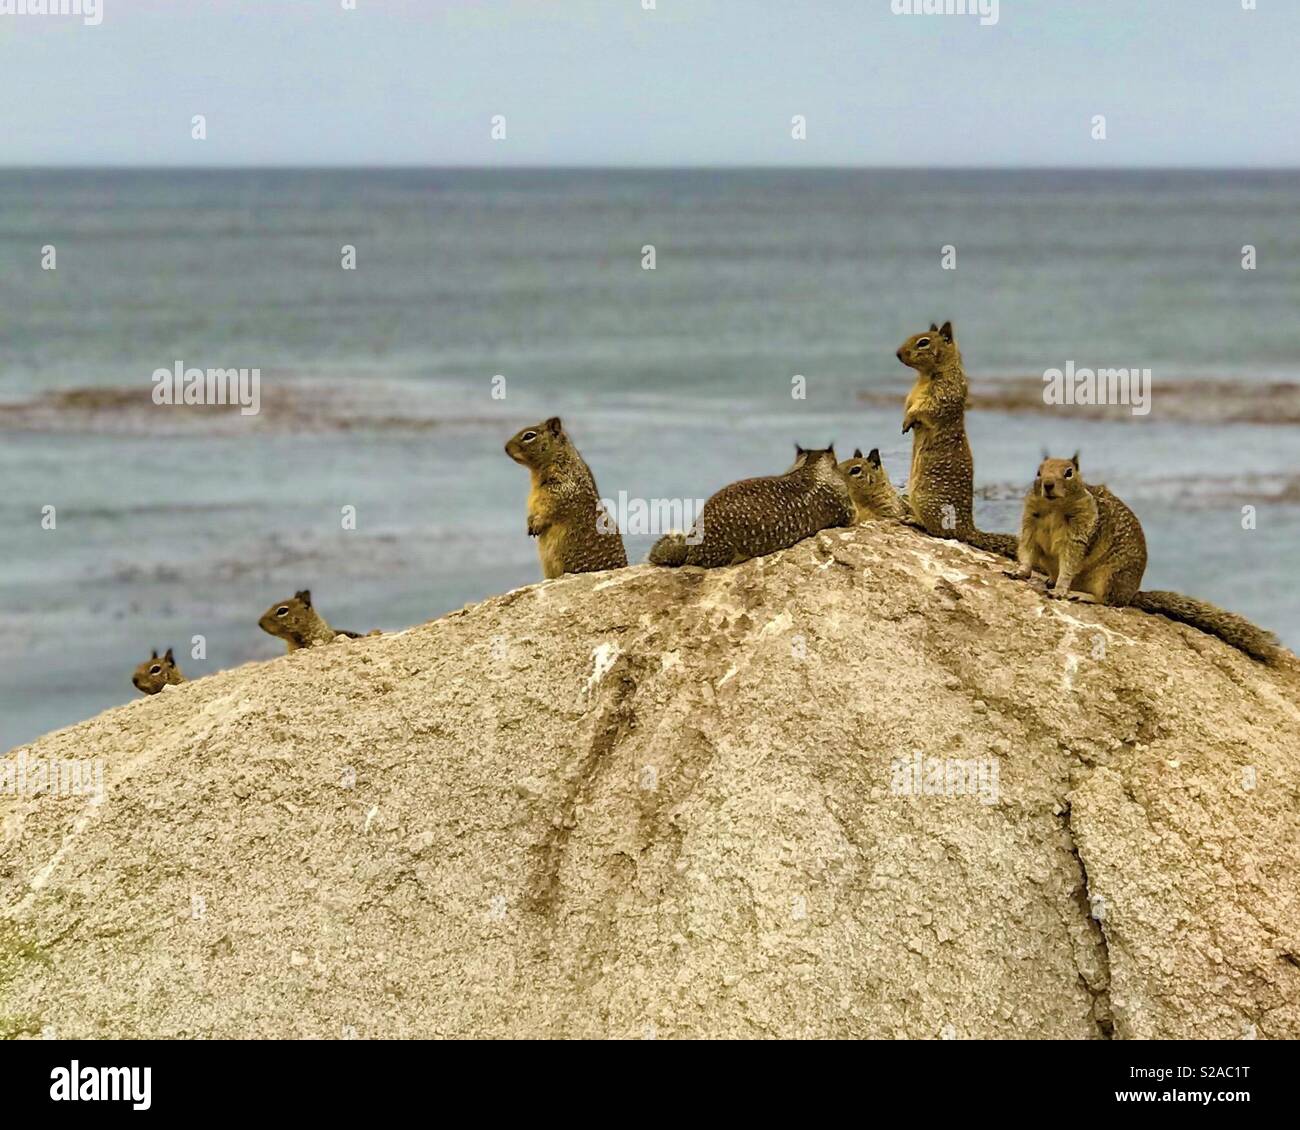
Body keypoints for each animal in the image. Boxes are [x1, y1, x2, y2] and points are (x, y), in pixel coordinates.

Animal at [505, 416, 628, 579]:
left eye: (529, 435)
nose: (505, 448)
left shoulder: (562, 491)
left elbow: (551, 510)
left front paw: (537, 524)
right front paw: (530, 523)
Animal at [897, 321, 1018, 559]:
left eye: (923, 342)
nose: (898, 353)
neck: (925, 376)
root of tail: (967, 528)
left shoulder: (943, 395)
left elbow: (924, 409)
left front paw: (909, 420)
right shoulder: (912, 395)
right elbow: (908, 404)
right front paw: (904, 421)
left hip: (925, 499)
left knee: (939, 532)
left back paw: (913, 520)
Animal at [1009, 454, 1283, 664]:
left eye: (1069, 472)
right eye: (1038, 471)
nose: (1047, 484)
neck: (1053, 508)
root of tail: (1132, 593)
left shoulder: (1079, 536)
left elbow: (1069, 563)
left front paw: (1061, 588)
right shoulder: (1030, 525)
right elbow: (1027, 551)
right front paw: (1020, 571)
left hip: (1109, 577)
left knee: (1110, 601)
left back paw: (1081, 594)